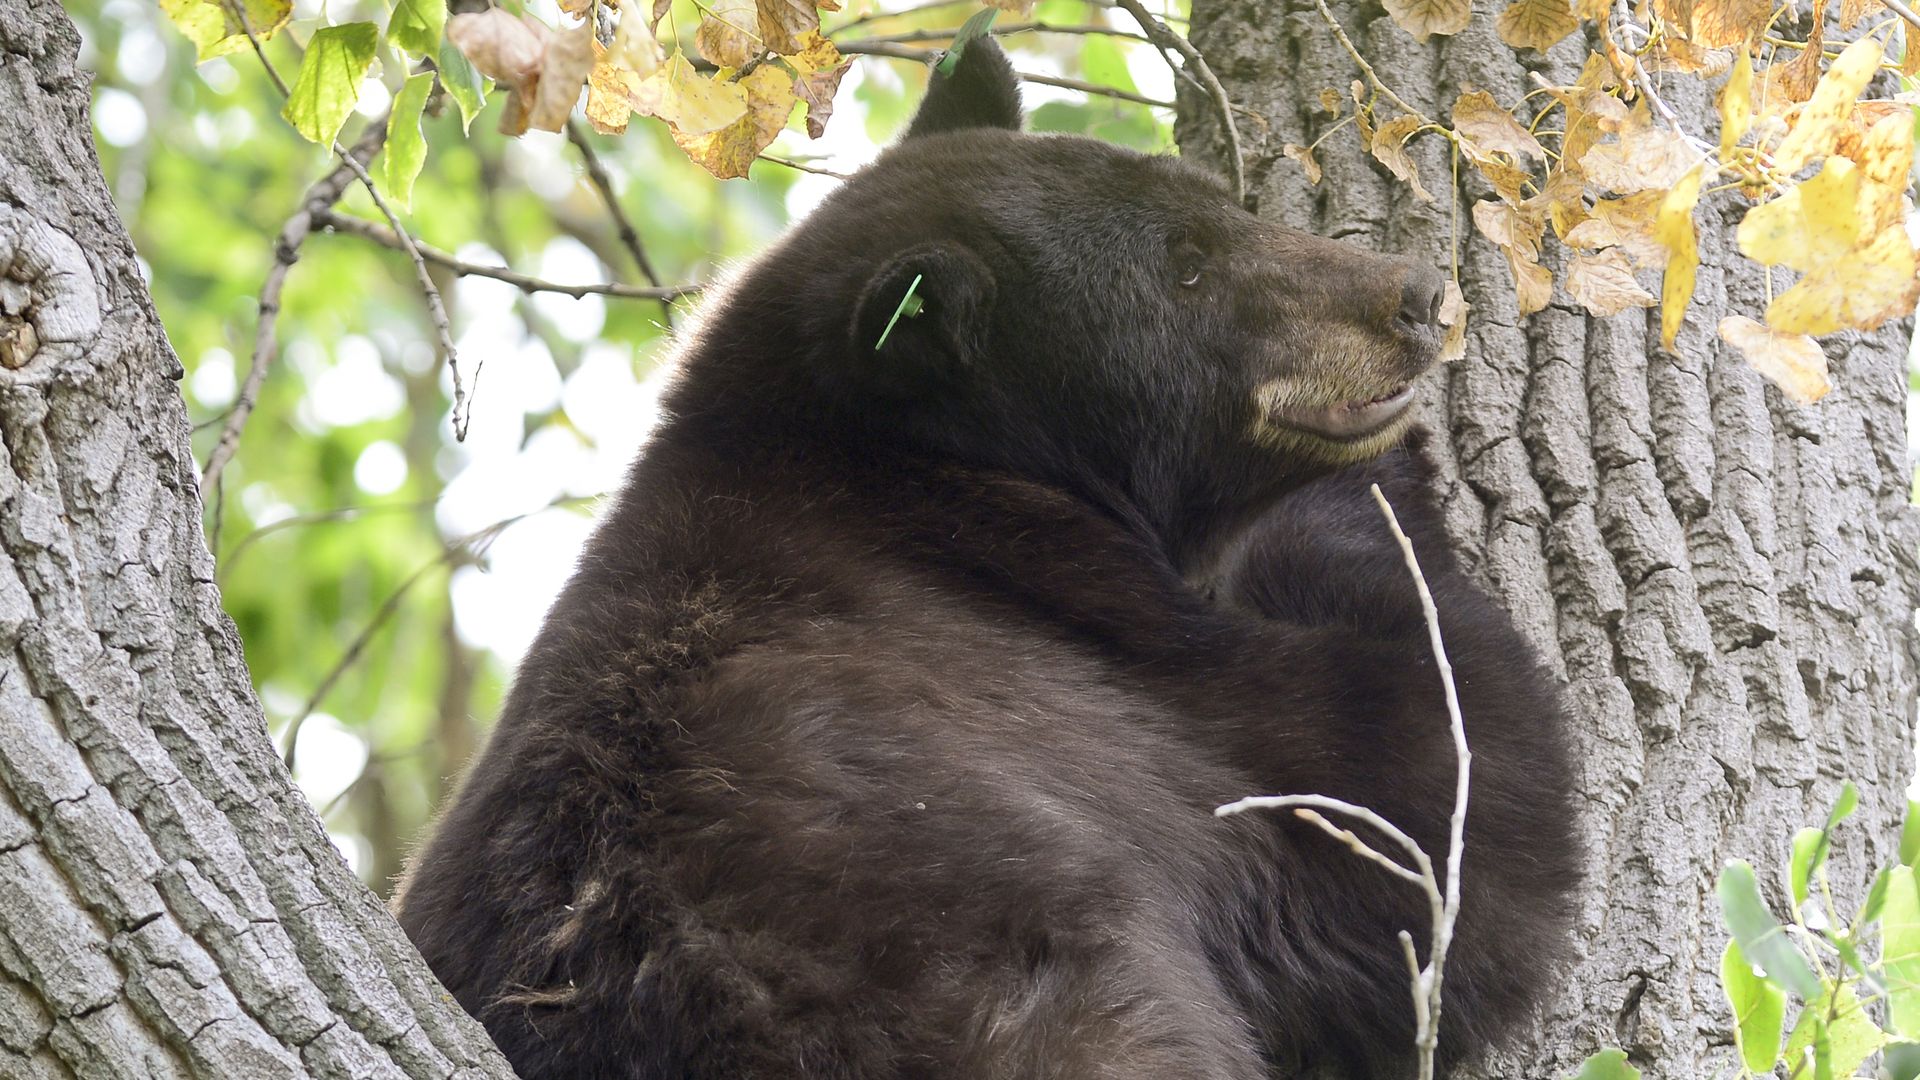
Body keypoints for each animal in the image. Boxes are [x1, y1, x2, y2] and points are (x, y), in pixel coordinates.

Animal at [394, 37, 1580, 1080]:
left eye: (1221, 206)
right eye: (1187, 272)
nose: (1414, 295)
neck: (929, 478)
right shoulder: (1096, 656)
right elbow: (1440, 803)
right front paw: (1379, 491)